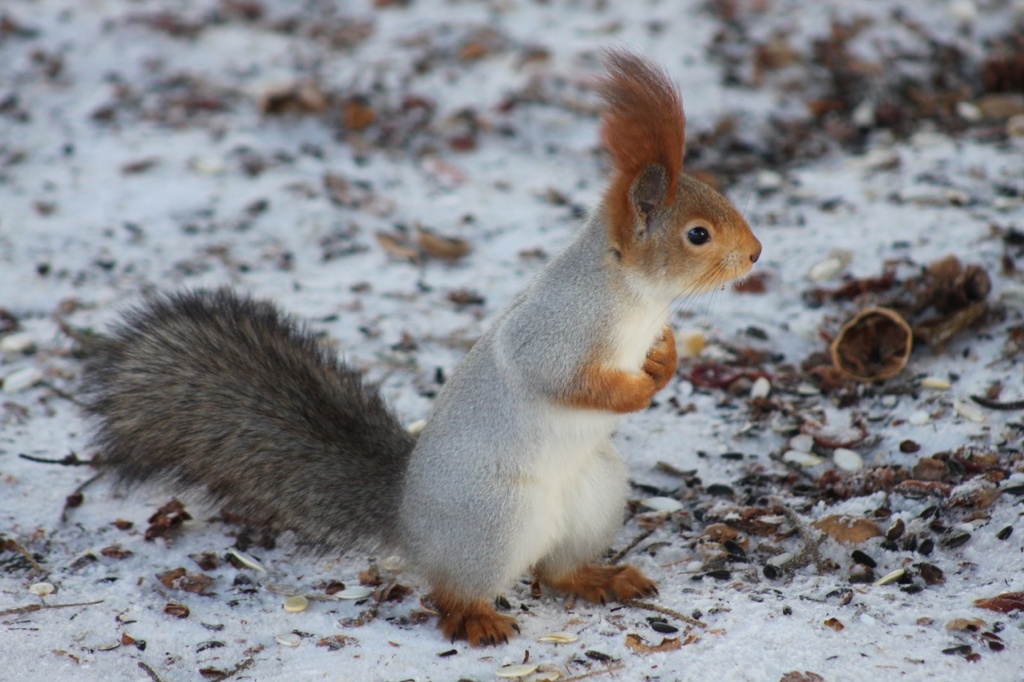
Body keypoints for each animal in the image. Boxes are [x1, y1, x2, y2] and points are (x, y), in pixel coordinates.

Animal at [81, 49, 761, 647]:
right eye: (698, 235)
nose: (755, 254)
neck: (639, 299)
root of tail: (409, 519)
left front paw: (663, 364)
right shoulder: (556, 332)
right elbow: (567, 380)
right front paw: (638, 390)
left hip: (594, 495)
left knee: (557, 569)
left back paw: (603, 577)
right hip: (496, 519)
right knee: (455, 592)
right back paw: (478, 620)